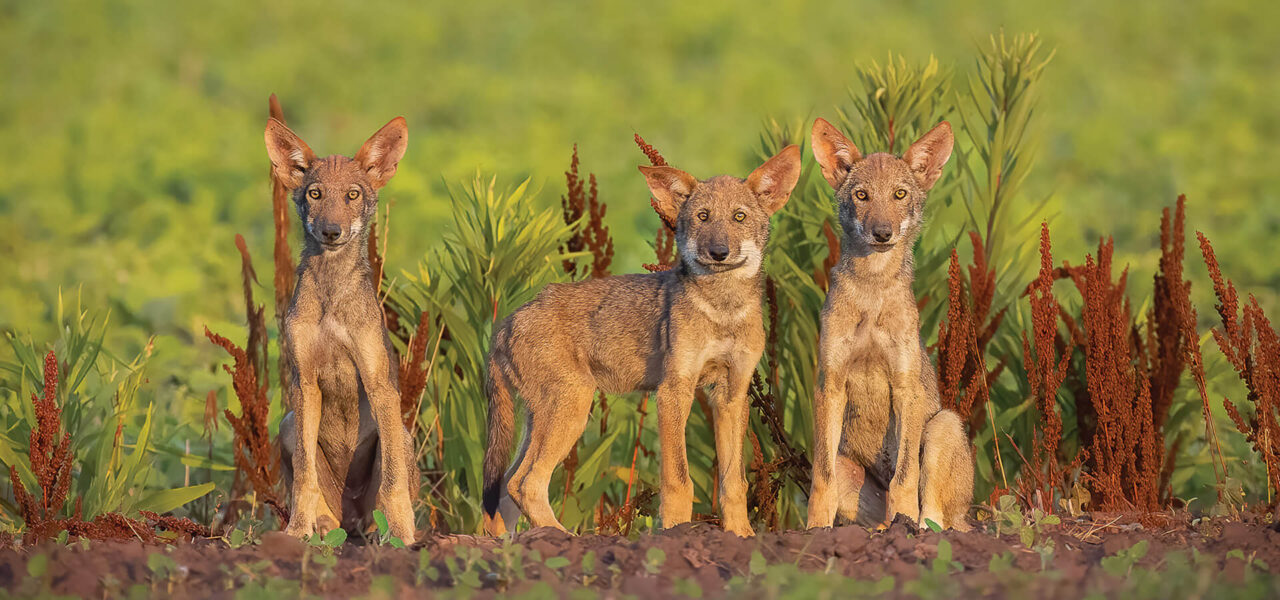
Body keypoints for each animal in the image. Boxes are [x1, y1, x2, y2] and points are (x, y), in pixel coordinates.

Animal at [264, 116, 419, 543]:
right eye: (315, 194)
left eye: (352, 194)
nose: (331, 231)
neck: (332, 295)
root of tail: (353, 520)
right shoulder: (305, 384)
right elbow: (304, 478)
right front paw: (295, 534)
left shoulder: (379, 385)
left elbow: (394, 484)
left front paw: (404, 539)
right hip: (288, 422)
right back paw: (320, 529)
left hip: (401, 434)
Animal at [481, 145, 802, 537]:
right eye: (703, 217)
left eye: (738, 217)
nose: (719, 252)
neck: (723, 310)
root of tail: (506, 321)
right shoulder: (673, 392)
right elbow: (679, 480)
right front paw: (675, 532)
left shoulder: (730, 394)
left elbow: (733, 483)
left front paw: (741, 535)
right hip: (572, 409)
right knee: (524, 483)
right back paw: (562, 537)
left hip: (544, 417)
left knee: (504, 491)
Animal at [805, 118, 973, 530]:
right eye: (862, 195)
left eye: (899, 194)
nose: (882, 232)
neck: (872, 289)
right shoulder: (829, 385)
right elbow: (821, 478)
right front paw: (814, 531)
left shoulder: (906, 389)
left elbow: (904, 476)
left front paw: (904, 523)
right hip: (849, 467)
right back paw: (882, 529)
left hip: (942, 425)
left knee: (934, 515)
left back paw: (910, 528)